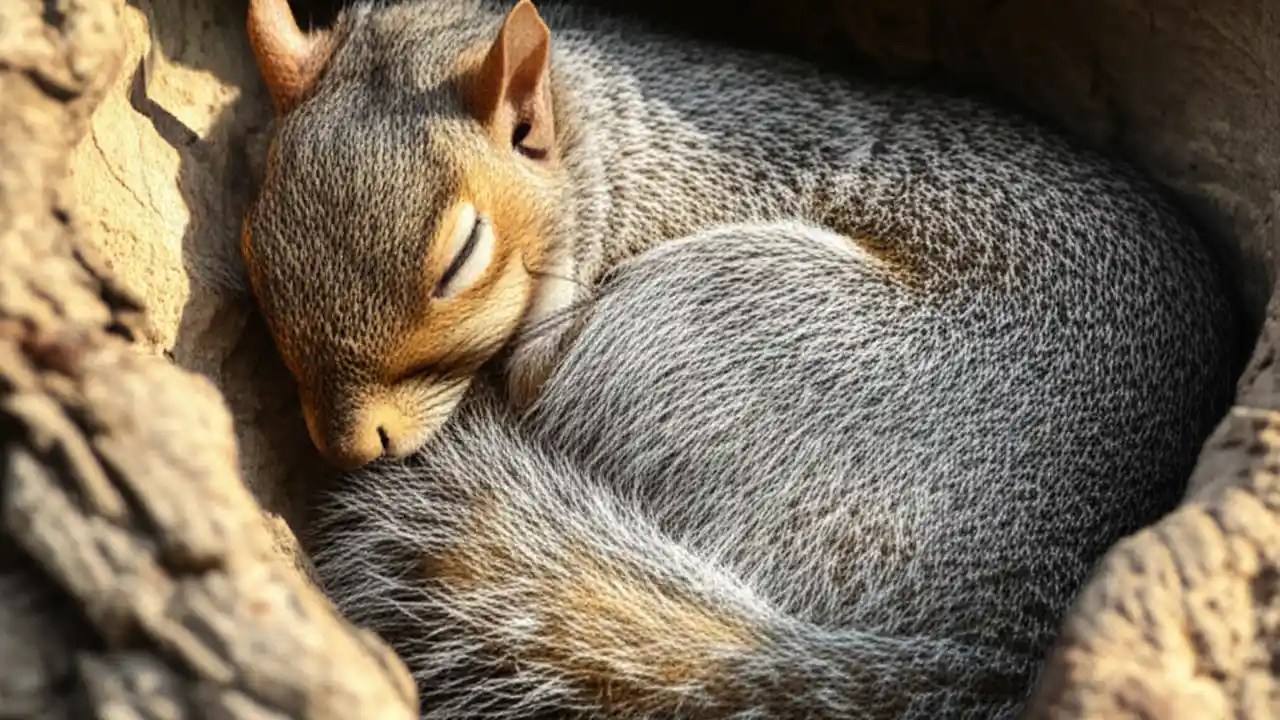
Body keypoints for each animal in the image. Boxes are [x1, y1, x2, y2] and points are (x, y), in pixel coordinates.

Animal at [241, 0, 1239, 716]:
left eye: (460, 258)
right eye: (251, 244)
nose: (350, 446)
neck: (609, 141)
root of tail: (1004, 624)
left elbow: (534, 361)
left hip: (724, 334)